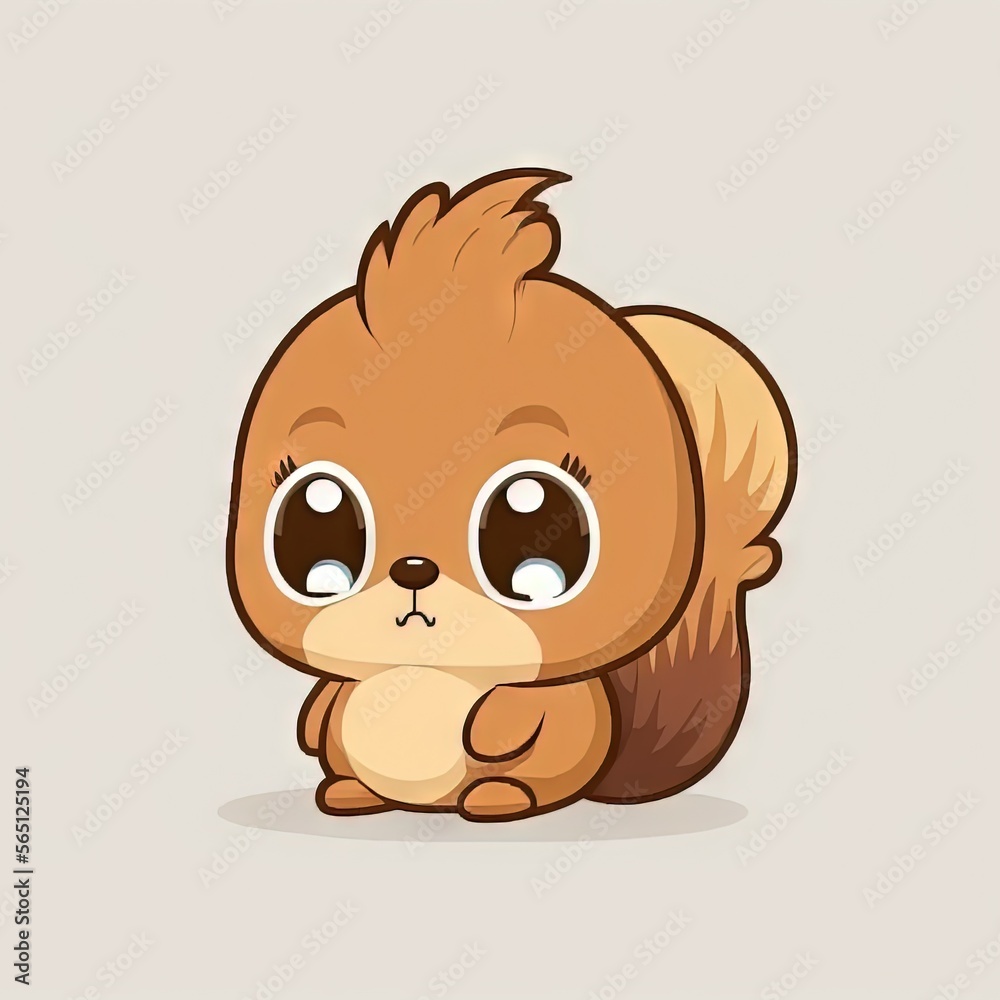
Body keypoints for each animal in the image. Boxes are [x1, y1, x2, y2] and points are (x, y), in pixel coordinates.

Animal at [226, 168, 795, 822]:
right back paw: (350, 793)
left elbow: (527, 707)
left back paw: (496, 797)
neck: (424, 669)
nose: (413, 569)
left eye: (535, 538)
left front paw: (492, 725)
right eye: (313, 525)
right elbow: (329, 700)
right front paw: (313, 717)